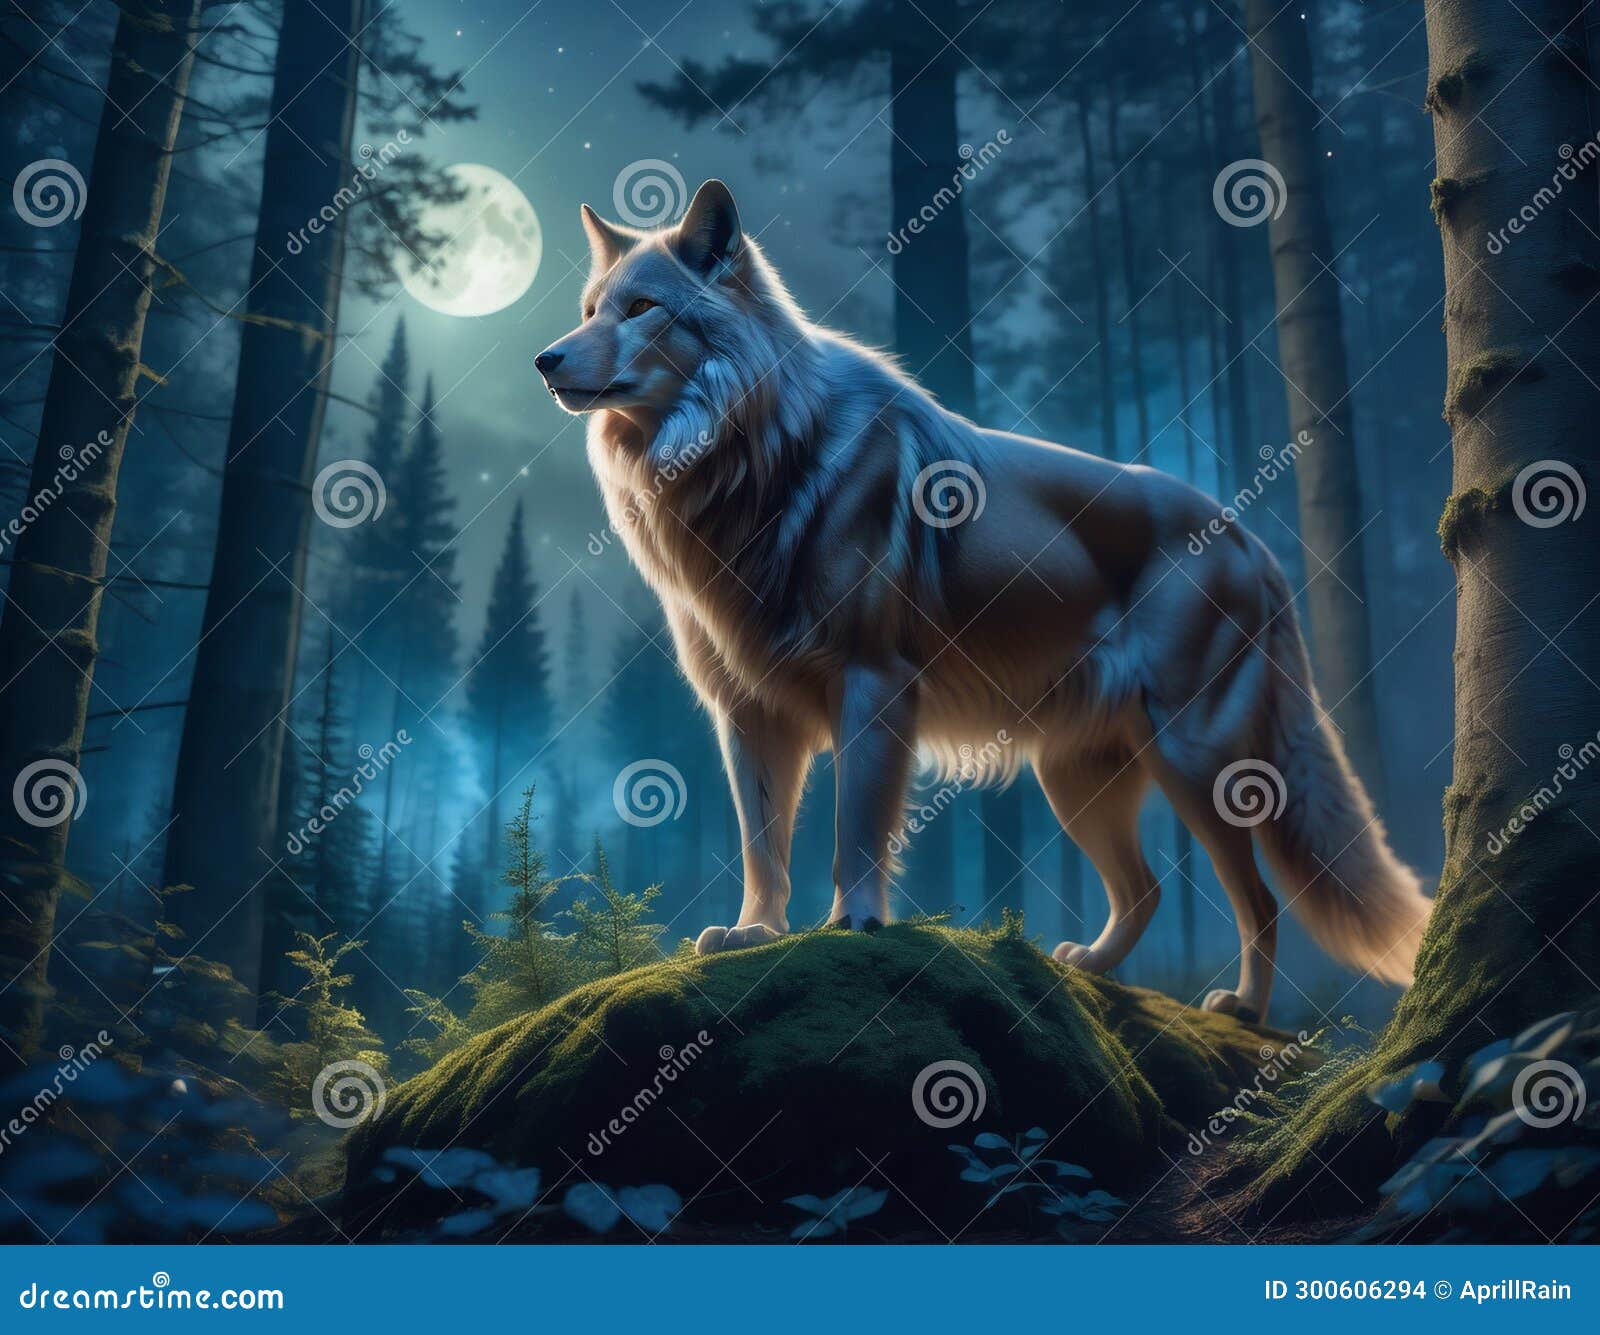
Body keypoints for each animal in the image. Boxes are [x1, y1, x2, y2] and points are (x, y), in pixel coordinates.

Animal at [535, 179, 1431, 1023]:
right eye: (589, 311)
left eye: (642, 308)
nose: (545, 358)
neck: (748, 457)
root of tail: (1249, 536)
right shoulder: (748, 709)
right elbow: (763, 846)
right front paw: (756, 931)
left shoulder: (874, 686)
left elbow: (854, 832)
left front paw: (854, 924)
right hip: (1075, 780)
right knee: (1146, 889)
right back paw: (1088, 967)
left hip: (1196, 763)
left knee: (1259, 898)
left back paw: (1242, 1007)